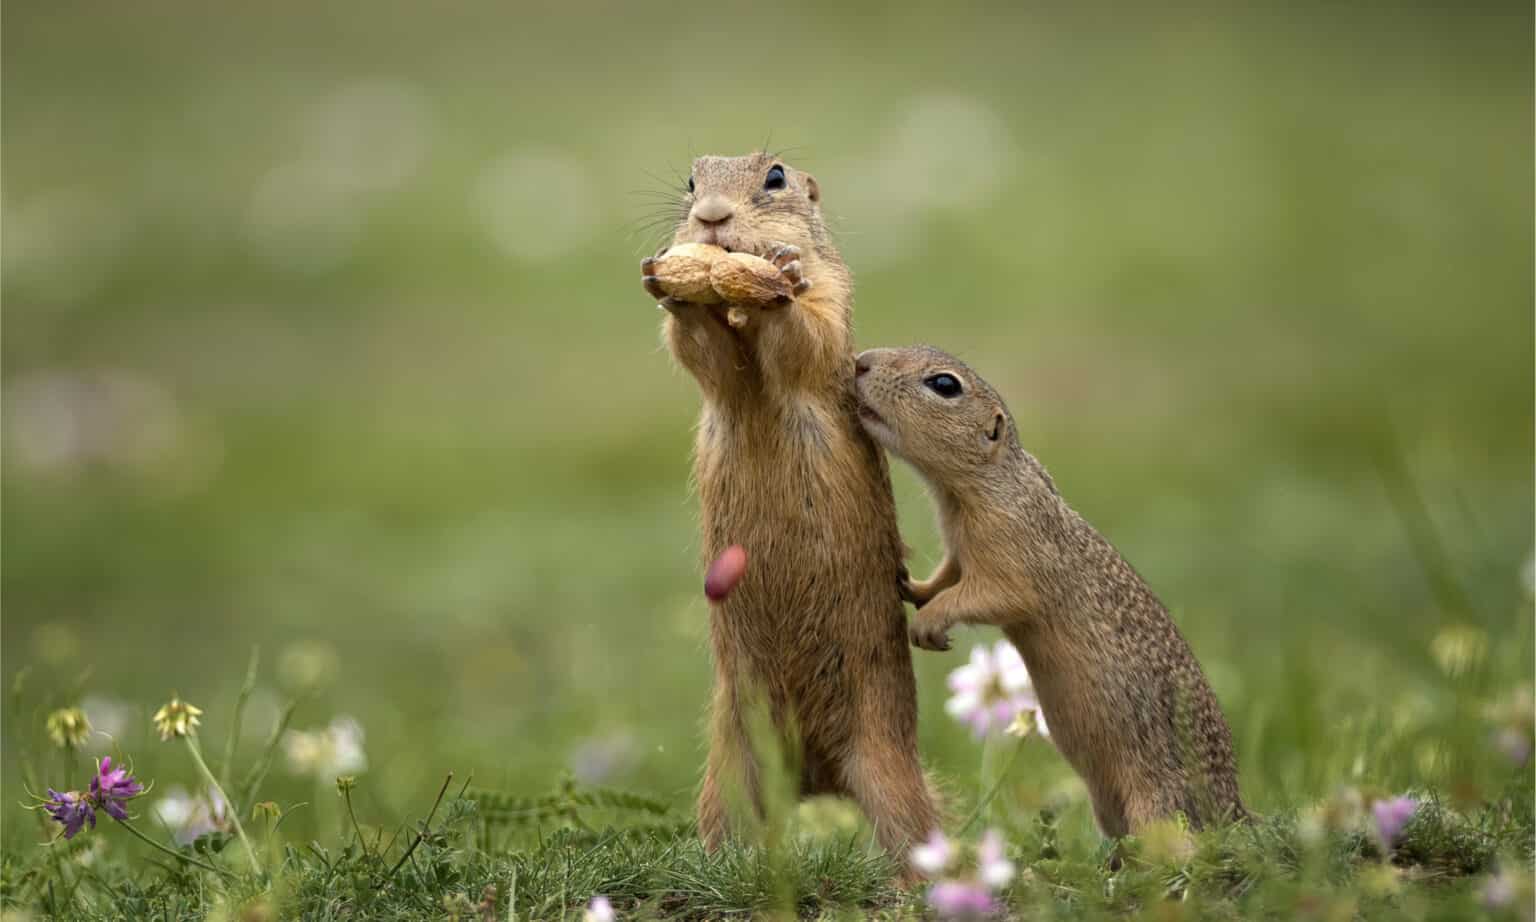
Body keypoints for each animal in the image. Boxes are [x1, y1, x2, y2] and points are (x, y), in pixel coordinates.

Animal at [639, 154, 940, 862]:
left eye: (775, 177)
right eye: (691, 182)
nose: (711, 216)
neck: (737, 312)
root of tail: (818, 779)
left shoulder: (834, 294)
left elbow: (807, 335)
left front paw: (782, 273)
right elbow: (701, 353)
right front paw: (671, 284)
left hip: (886, 761)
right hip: (729, 768)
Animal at [852, 345, 1247, 837]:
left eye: (944, 385)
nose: (860, 361)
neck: (983, 487)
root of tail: (1233, 811)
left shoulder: (1012, 558)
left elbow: (985, 596)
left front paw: (928, 622)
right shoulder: (960, 552)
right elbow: (946, 576)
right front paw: (910, 585)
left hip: (1160, 808)